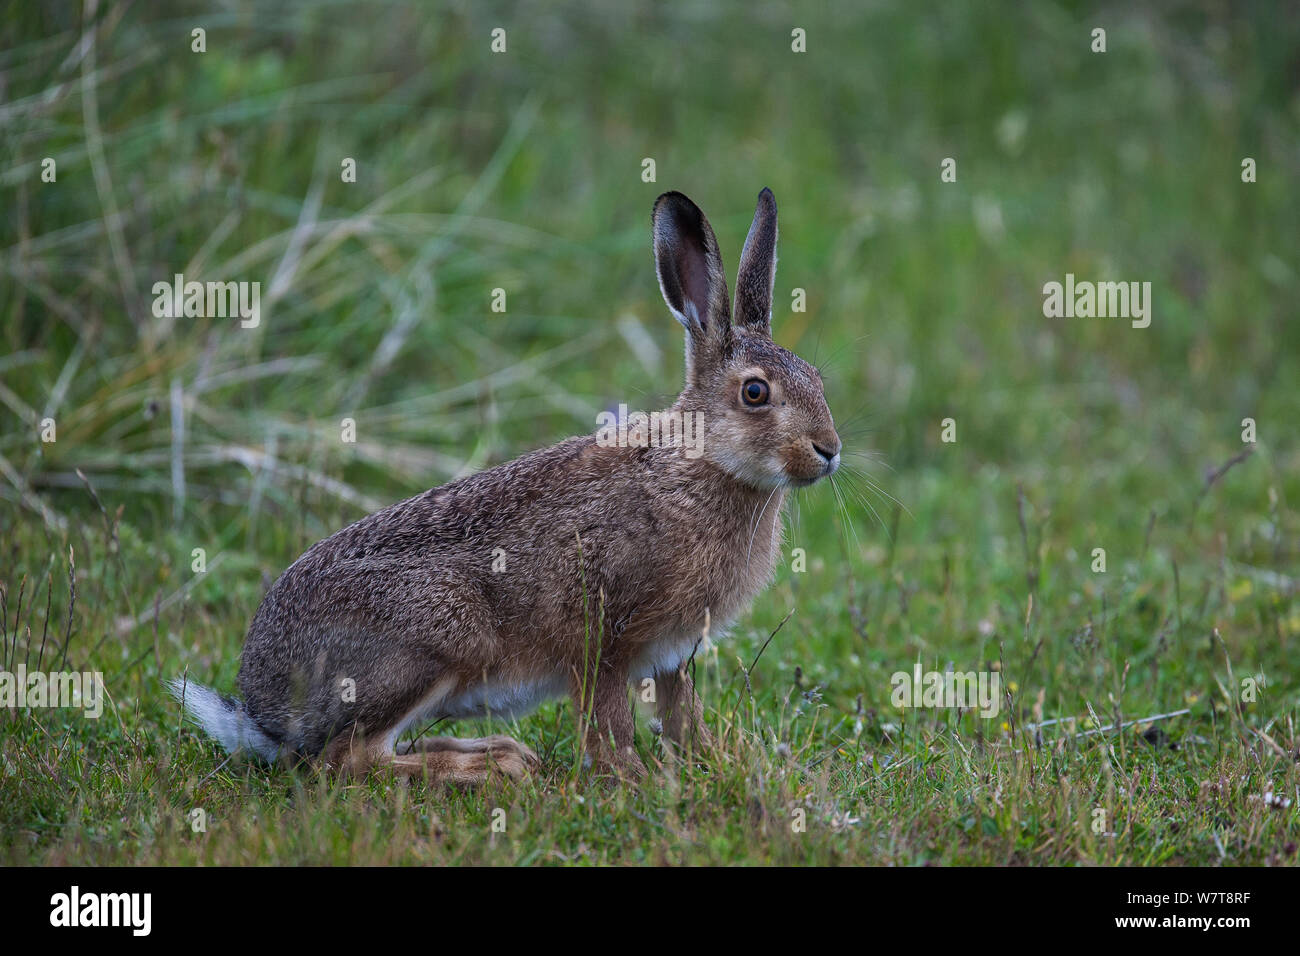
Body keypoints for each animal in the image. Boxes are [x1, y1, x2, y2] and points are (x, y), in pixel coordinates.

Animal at [171, 187, 841, 784]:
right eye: (755, 392)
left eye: (816, 377)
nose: (829, 451)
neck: (702, 464)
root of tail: (264, 710)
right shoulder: (603, 634)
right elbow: (609, 721)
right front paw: (633, 780)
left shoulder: (673, 653)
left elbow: (682, 714)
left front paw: (718, 760)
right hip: (433, 639)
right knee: (346, 761)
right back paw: (495, 768)